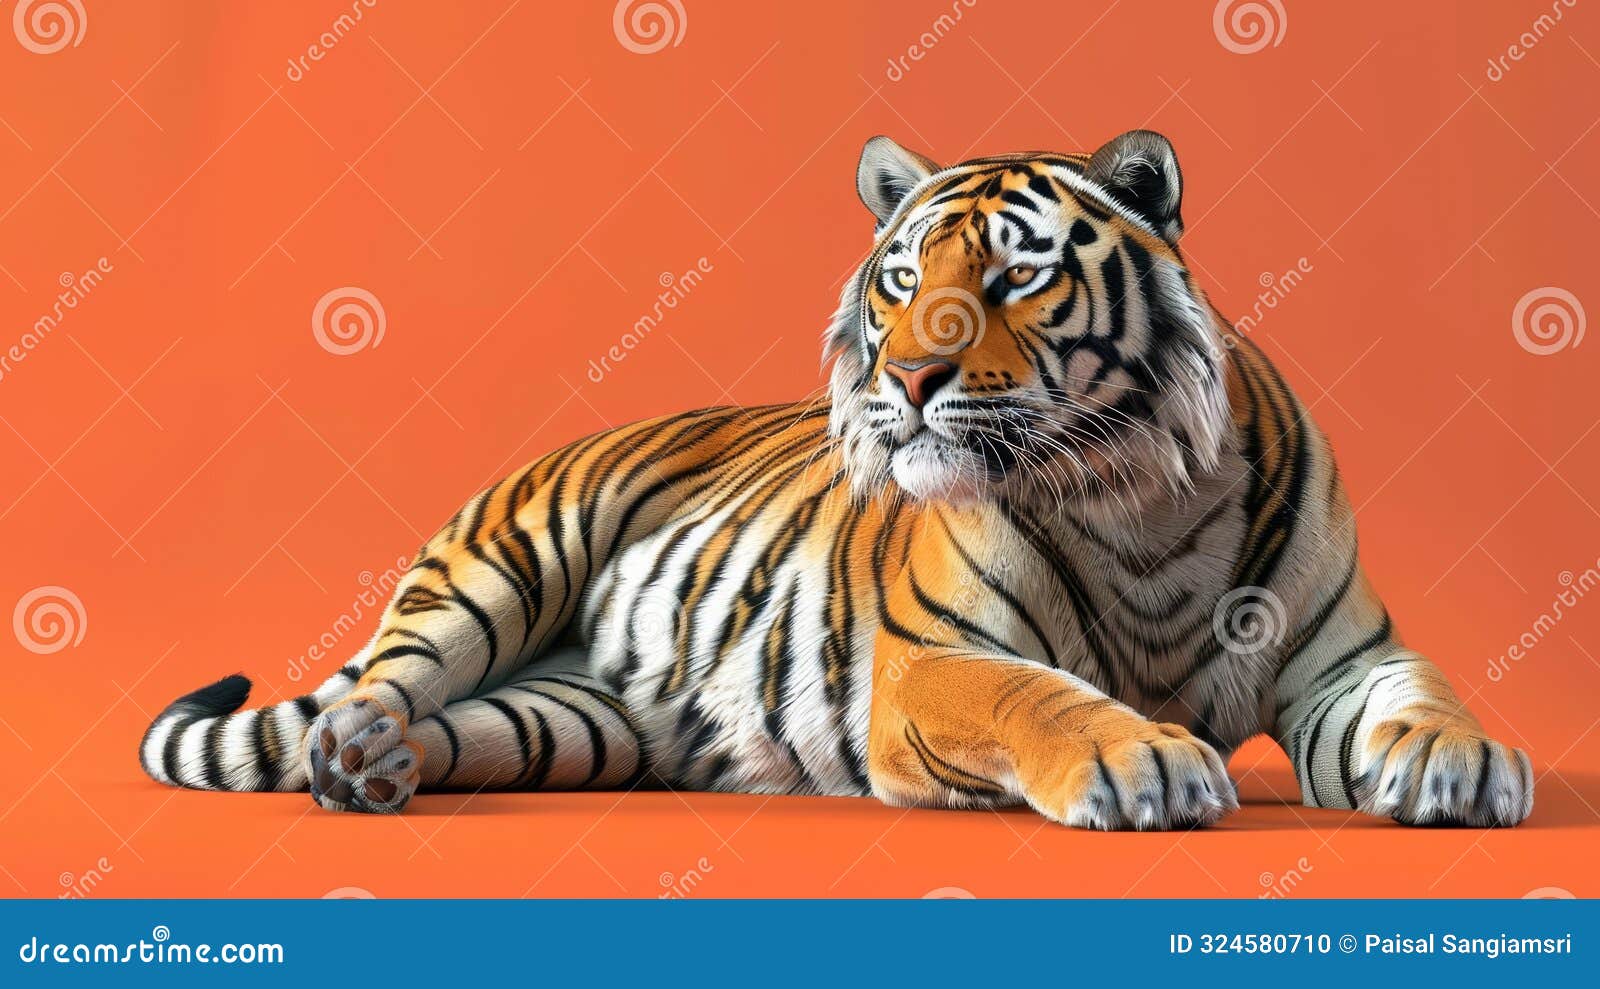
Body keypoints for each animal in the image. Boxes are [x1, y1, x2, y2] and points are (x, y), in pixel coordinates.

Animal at [140, 130, 1534, 830]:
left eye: (1016, 275)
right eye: (904, 278)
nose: (909, 377)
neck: (1134, 500)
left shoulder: (1346, 653)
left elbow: (1418, 694)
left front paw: (1462, 765)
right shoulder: (929, 666)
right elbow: (1044, 698)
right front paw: (1142, 760)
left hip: (567, 717)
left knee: (468, 721)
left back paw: (382, 771)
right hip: (503, 556)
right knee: (384, 676)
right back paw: (352, 751)